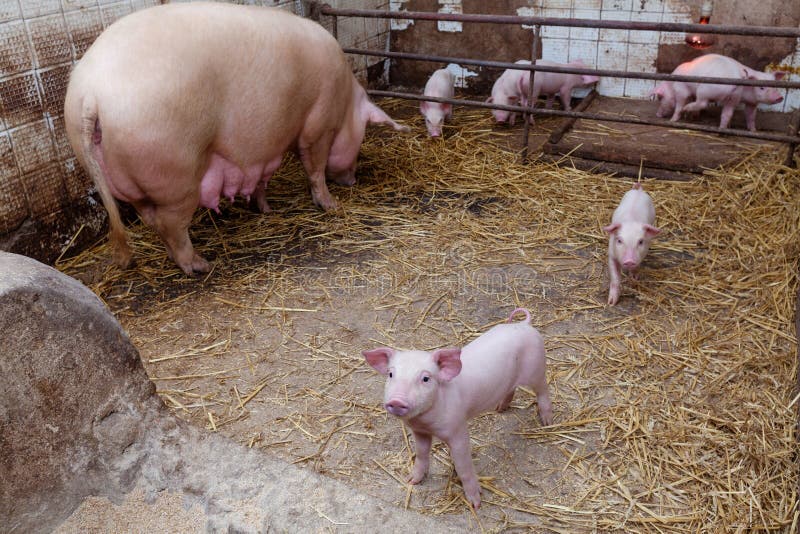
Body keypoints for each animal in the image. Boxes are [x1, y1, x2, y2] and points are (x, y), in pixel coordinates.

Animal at [64, 2, 408, 276]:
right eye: (362, 136)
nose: (352, 180)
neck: (345, 97)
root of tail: (90, 92)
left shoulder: (264, 148)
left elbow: (261, 178)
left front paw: (265, 209)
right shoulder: (317, 126)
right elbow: (315, 168)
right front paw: (331, 206)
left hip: (132, 180)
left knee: (151, 220)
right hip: (175, 174)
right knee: (171, 225)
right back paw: (201, 266)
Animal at [363, 307, 553, 509]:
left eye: (426, 378)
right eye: (391, 374)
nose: (397, 400)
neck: (427, 421)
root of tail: (524, 325)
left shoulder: (458, 430)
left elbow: (463, 465)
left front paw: (475, 503)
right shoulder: (420, 432)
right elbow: (421, 454)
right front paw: (411, 480)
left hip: (537, 369)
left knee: (543, 390)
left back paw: (547, 422)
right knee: (511, 389)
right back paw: (500, 409)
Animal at [653, 54, 785, 131]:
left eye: (660, 97)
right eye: (762, 87)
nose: (779, 97)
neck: (671, 85)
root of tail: (736, 76)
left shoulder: (680, 89)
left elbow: (679, 104)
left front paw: (673, 120)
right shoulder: (752, 102)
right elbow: (750, 115)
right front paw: (753, 130)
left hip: (705, 89)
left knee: (702, 103)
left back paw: (687, 108)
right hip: (733, 97)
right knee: (727, 113)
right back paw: (722, 129)